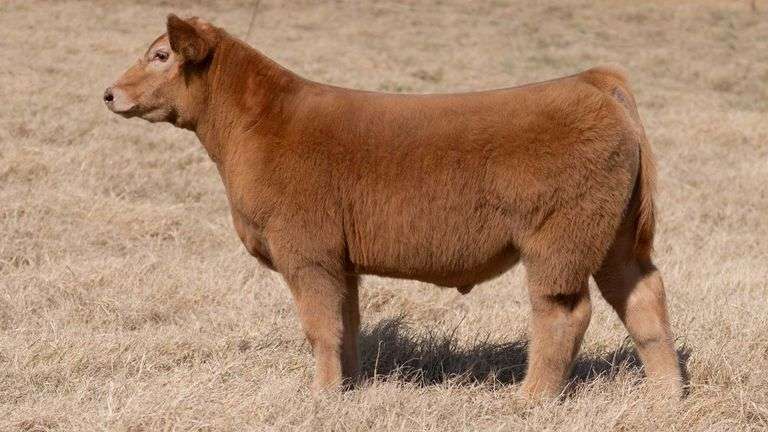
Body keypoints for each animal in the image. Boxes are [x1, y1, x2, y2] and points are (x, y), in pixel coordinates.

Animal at [104, 14, 683, 399]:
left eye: (162, 55)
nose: (109, 93)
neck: (255, 124)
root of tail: (593, 81)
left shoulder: (306, 250)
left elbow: (320, 325)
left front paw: (320, 398)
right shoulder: (340, 260)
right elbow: (347, 323)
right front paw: (349, 386)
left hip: (560, 238)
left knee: (563, 312)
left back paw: (531, 400)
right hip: (616, 238)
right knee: (643, 297)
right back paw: (666, 394)